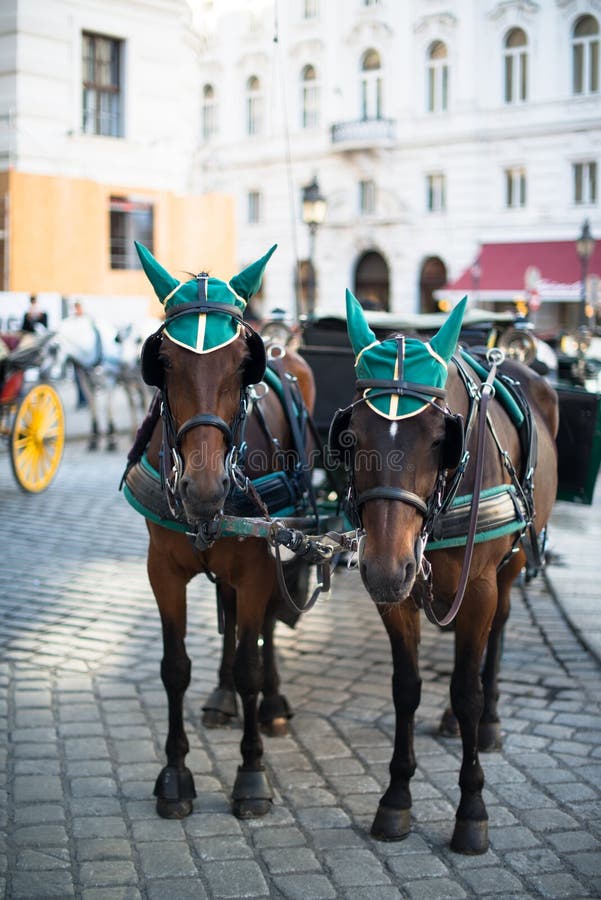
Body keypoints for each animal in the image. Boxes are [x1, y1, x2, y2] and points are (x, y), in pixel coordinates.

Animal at [122, 241, 317, 820]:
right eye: (163, 361)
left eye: (241, 366)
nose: (204, 490)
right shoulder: (161, 571)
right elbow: (174, 668)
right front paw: (175, 775)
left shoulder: (257, 566)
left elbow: (254, 657)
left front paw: (250, 776)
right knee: (229, 615)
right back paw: (222, 697)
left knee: (265, 626)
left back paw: (270, 704)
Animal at [328, 290, 558, 854]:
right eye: (351, 436)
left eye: (440, 438)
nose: (386, 569)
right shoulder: (395, 598)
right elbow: (406, 688)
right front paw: (395, 798)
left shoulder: (477, 587)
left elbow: (466, 689)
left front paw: (471, 811)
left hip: (512, 564)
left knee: (495, 635)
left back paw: (489, 721)